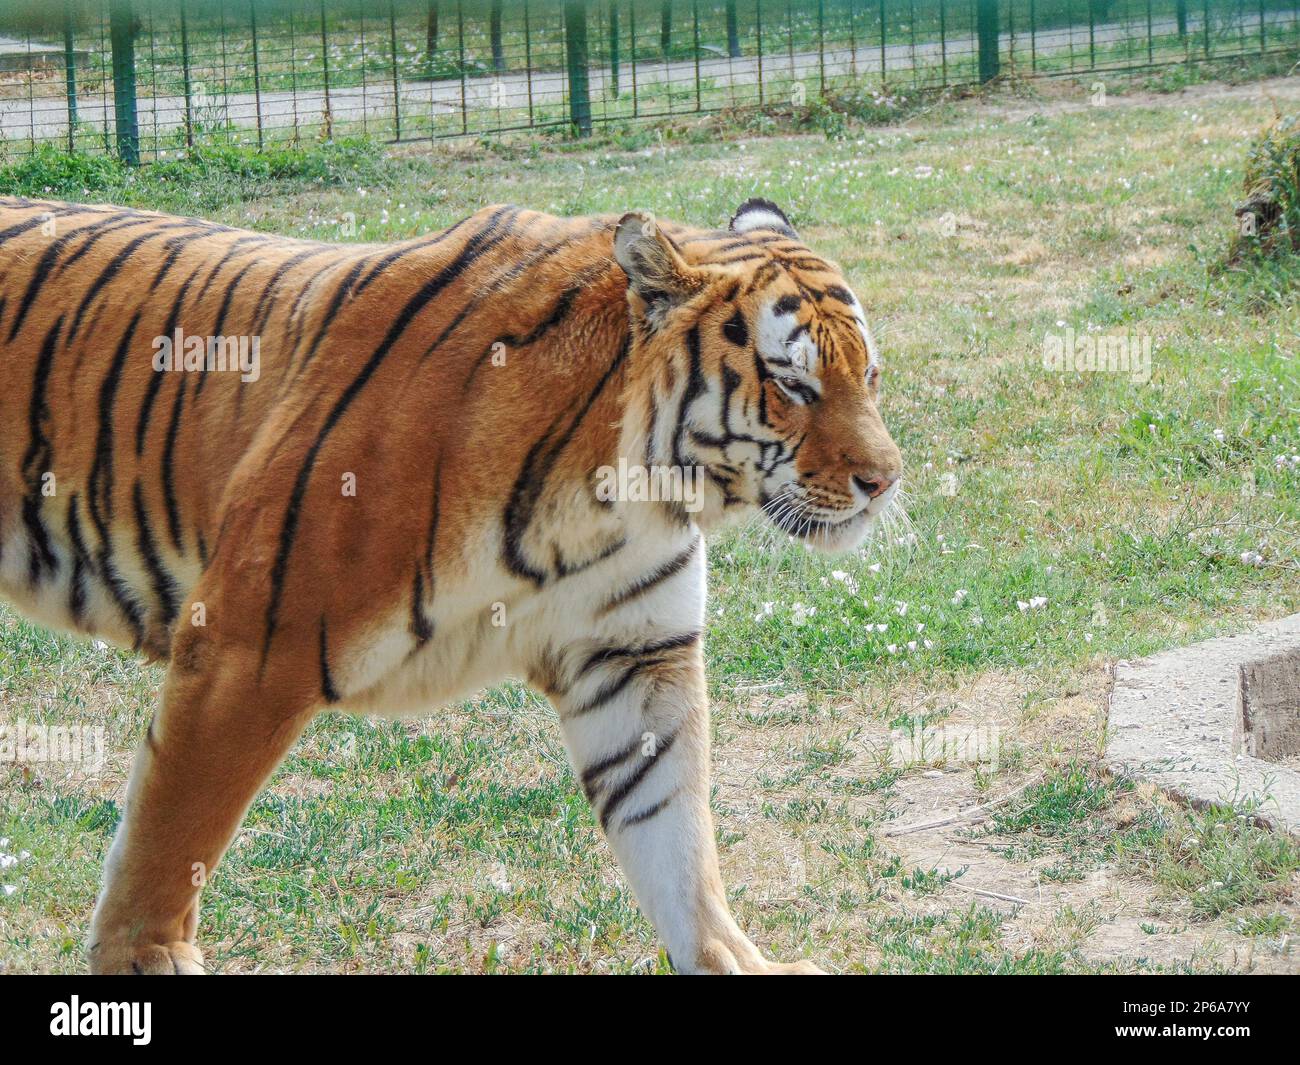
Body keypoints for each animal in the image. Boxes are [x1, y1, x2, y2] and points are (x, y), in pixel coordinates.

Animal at [0, 194, 902, 975]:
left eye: (870, 375)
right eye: (793, 385)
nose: (886, 479)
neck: (625, 491)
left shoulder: (634, 657)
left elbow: (677, 841)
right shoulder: (244, 645)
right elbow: (172, 833)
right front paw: (145, 957)